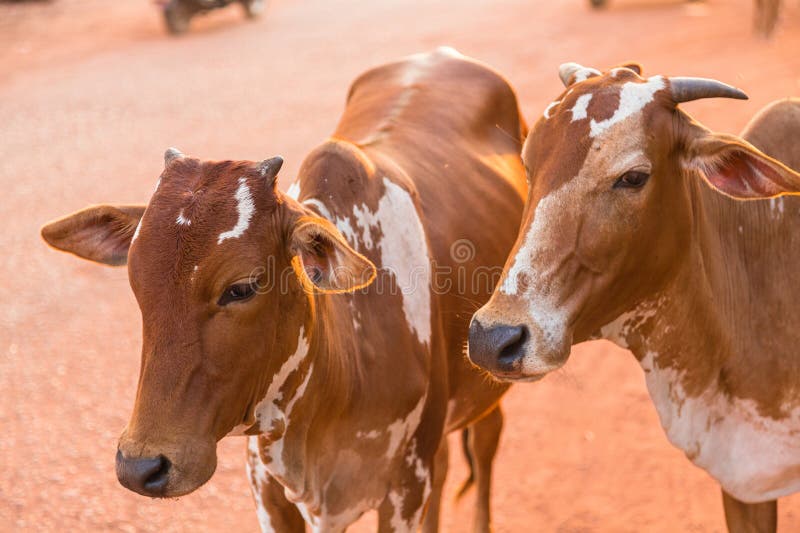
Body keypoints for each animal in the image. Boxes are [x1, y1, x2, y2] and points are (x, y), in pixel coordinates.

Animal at [40, 47, 527, 532]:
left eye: (241, 288)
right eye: (136, 283)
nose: (141, 466)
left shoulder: (406, 490)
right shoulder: (266, 488)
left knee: (486, 442)